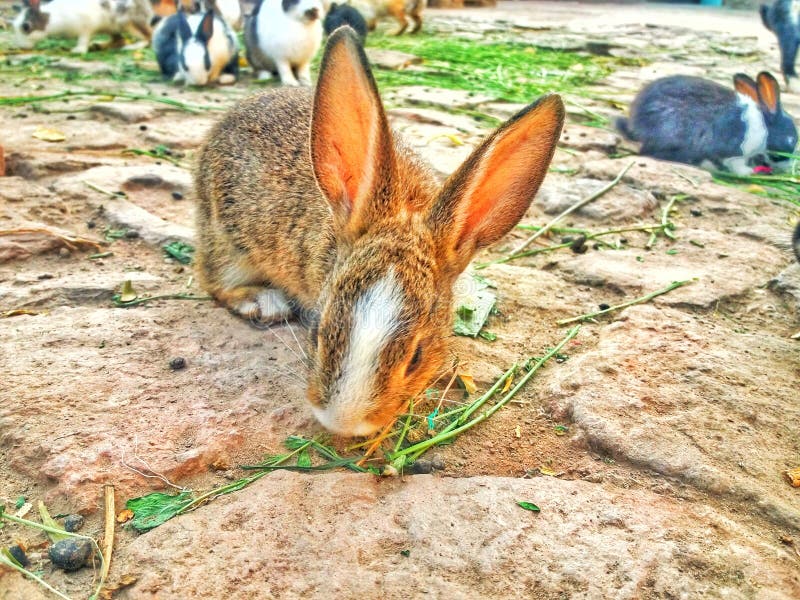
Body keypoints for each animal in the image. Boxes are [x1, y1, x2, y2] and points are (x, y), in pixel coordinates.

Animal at [14, 0, 153, 54]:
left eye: (26, 27)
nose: (21, 46)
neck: (51, 20)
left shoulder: (86, 27)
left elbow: (83, 39)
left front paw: (78, 50)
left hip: (129, 24)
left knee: (147, 37)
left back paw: (132, 47)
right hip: (111, 28)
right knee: (118, 40)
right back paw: (98, 45)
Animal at [194, 27, 564, 437]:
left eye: (417, 356)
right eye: (317, 330)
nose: (342, 422)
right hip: (227, 240)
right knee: (216, 280)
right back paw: (264, 302)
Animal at [616, 72, 798, 175]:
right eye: (791, 140)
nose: (788, 165)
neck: (764, 126)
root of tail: (635, 125)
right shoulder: (735, 151)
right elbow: (736, 165)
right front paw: (748, 172)